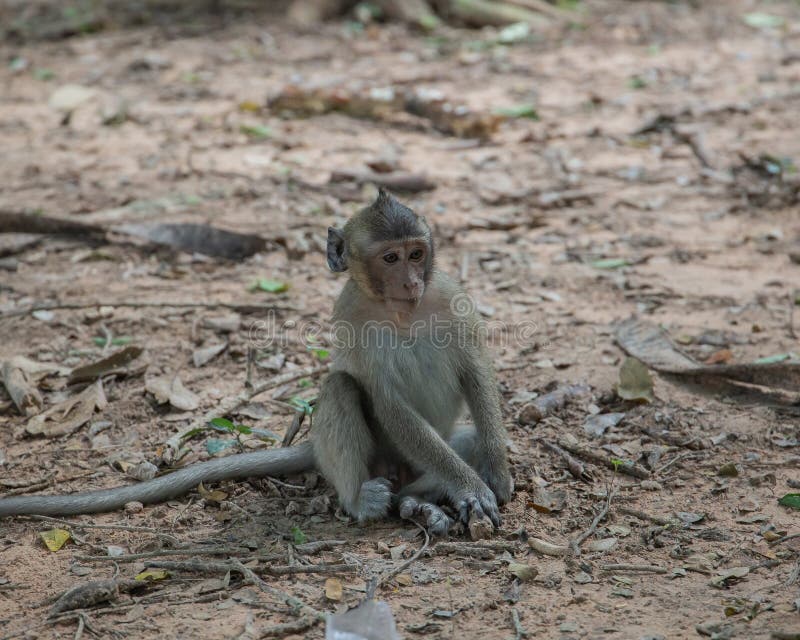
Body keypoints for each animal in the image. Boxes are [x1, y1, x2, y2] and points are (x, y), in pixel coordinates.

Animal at [0, 189, 513, 535]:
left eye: (416, 254)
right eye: (390, 258)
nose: (410, 282)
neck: (399, 312)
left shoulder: (448, 295)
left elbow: (475, 372)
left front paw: (494, 472)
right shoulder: (351, 316)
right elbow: (386, 400)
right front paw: (468, 487)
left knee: (455, 445)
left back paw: (418, 500)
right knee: (342, 388)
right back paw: (364, 500)